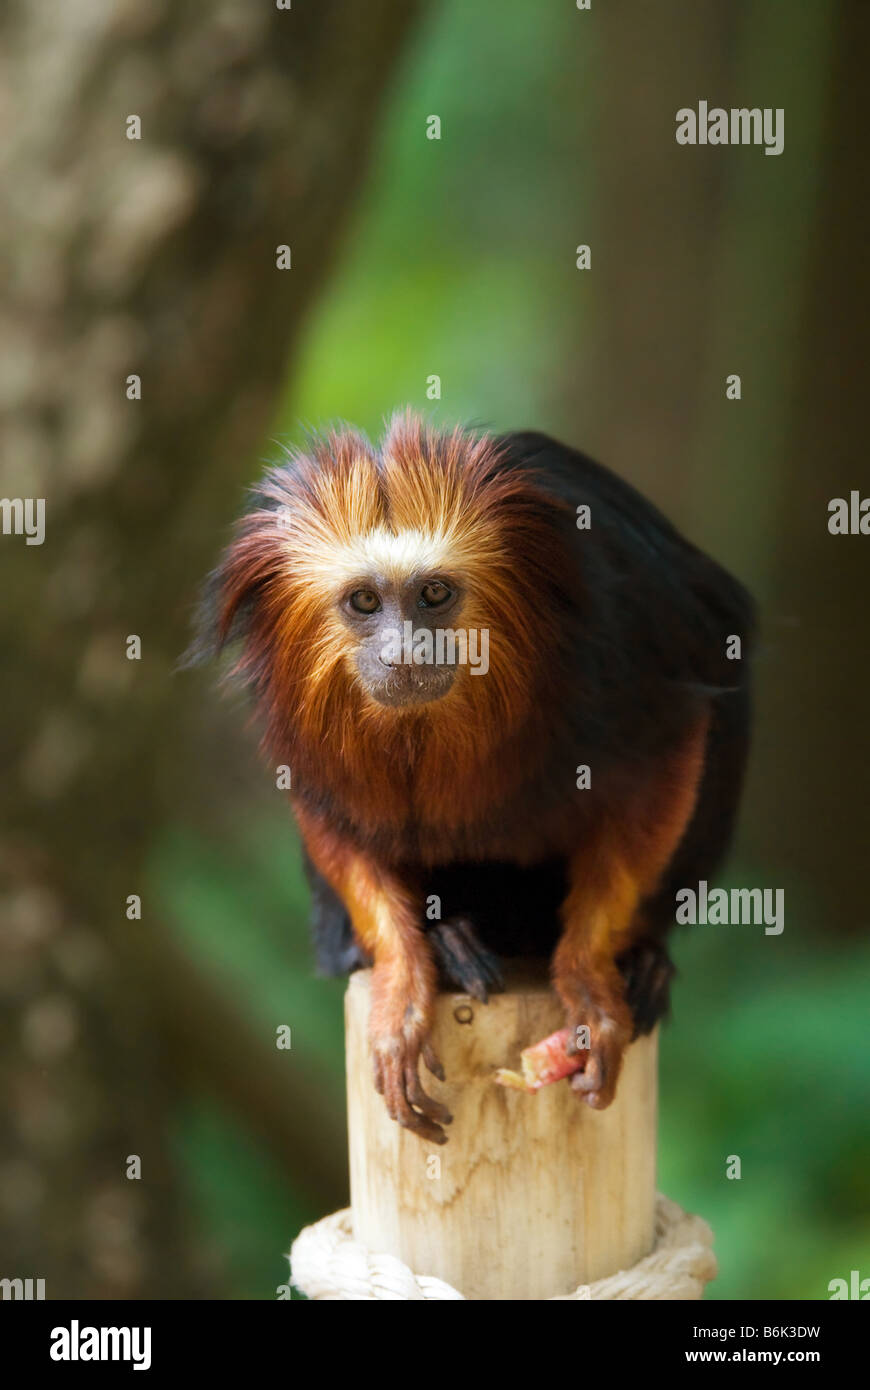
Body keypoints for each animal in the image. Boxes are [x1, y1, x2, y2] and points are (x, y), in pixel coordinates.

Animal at [192, 410, 754, 1143]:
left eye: (434, 594)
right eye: (364, 602)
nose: (404, 652)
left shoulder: (627, 642)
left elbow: (673, 750)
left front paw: (593, 981)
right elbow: (337, 817)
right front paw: (402, 986)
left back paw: (642, 963)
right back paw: (447, 942)